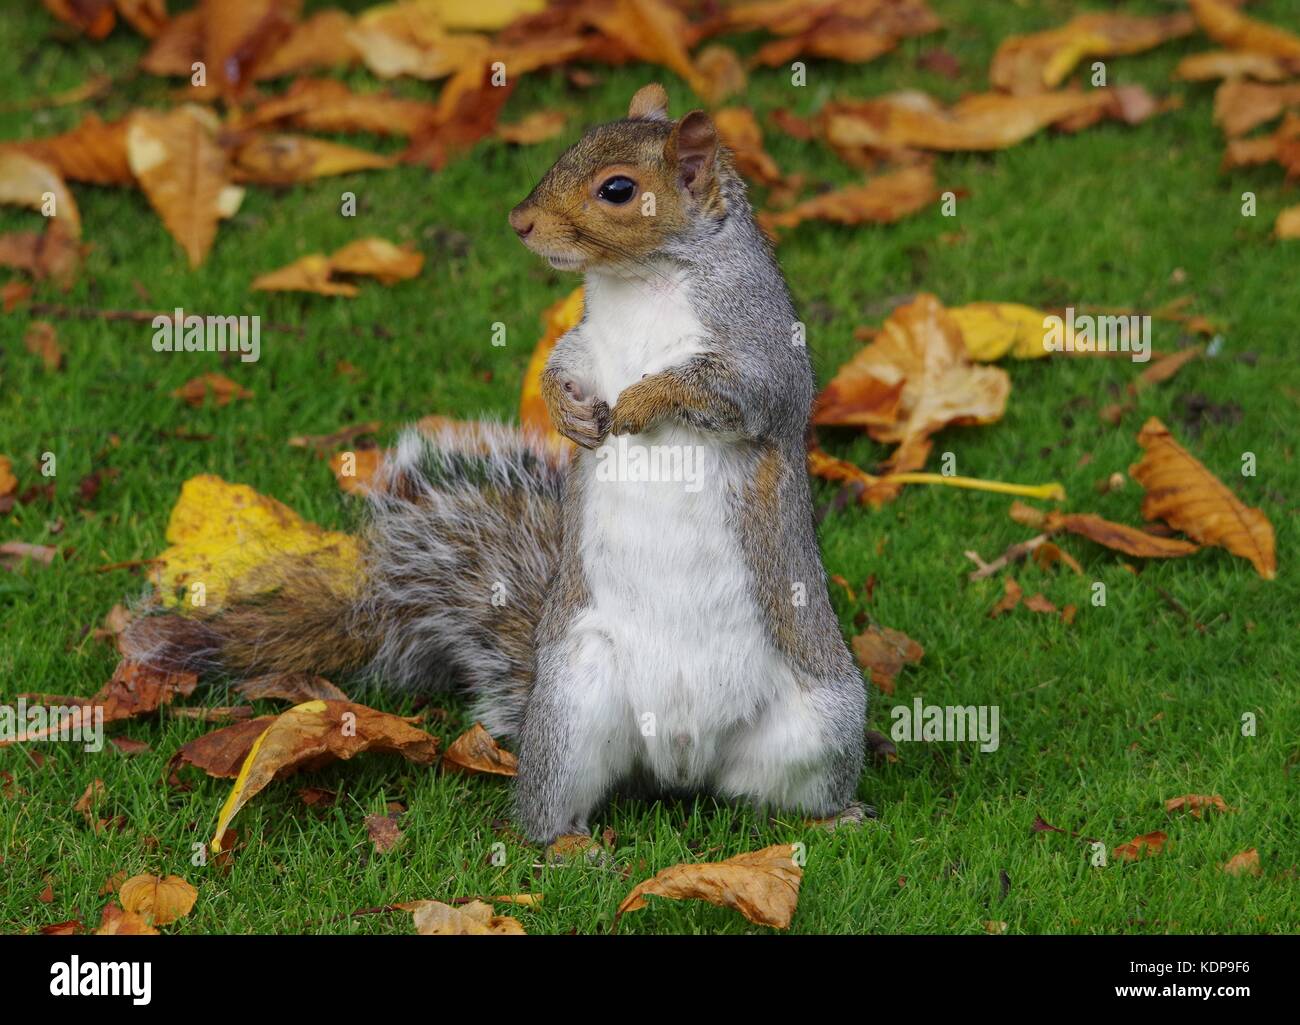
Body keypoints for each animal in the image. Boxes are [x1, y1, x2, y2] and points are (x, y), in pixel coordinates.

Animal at [124, 84, 868, 844]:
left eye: (619, 190)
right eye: (571, 146)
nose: (520, 221)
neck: (643, 281)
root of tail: (681, 769)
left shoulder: (762, 352)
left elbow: (733, 392)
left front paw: (643, 400)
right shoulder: (588, 341)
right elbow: (561, 367)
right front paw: (569, 413)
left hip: (821, 722)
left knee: (782, 792)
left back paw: (838, 820)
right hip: (574, 704)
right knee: (552, 806)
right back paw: (569, 846)